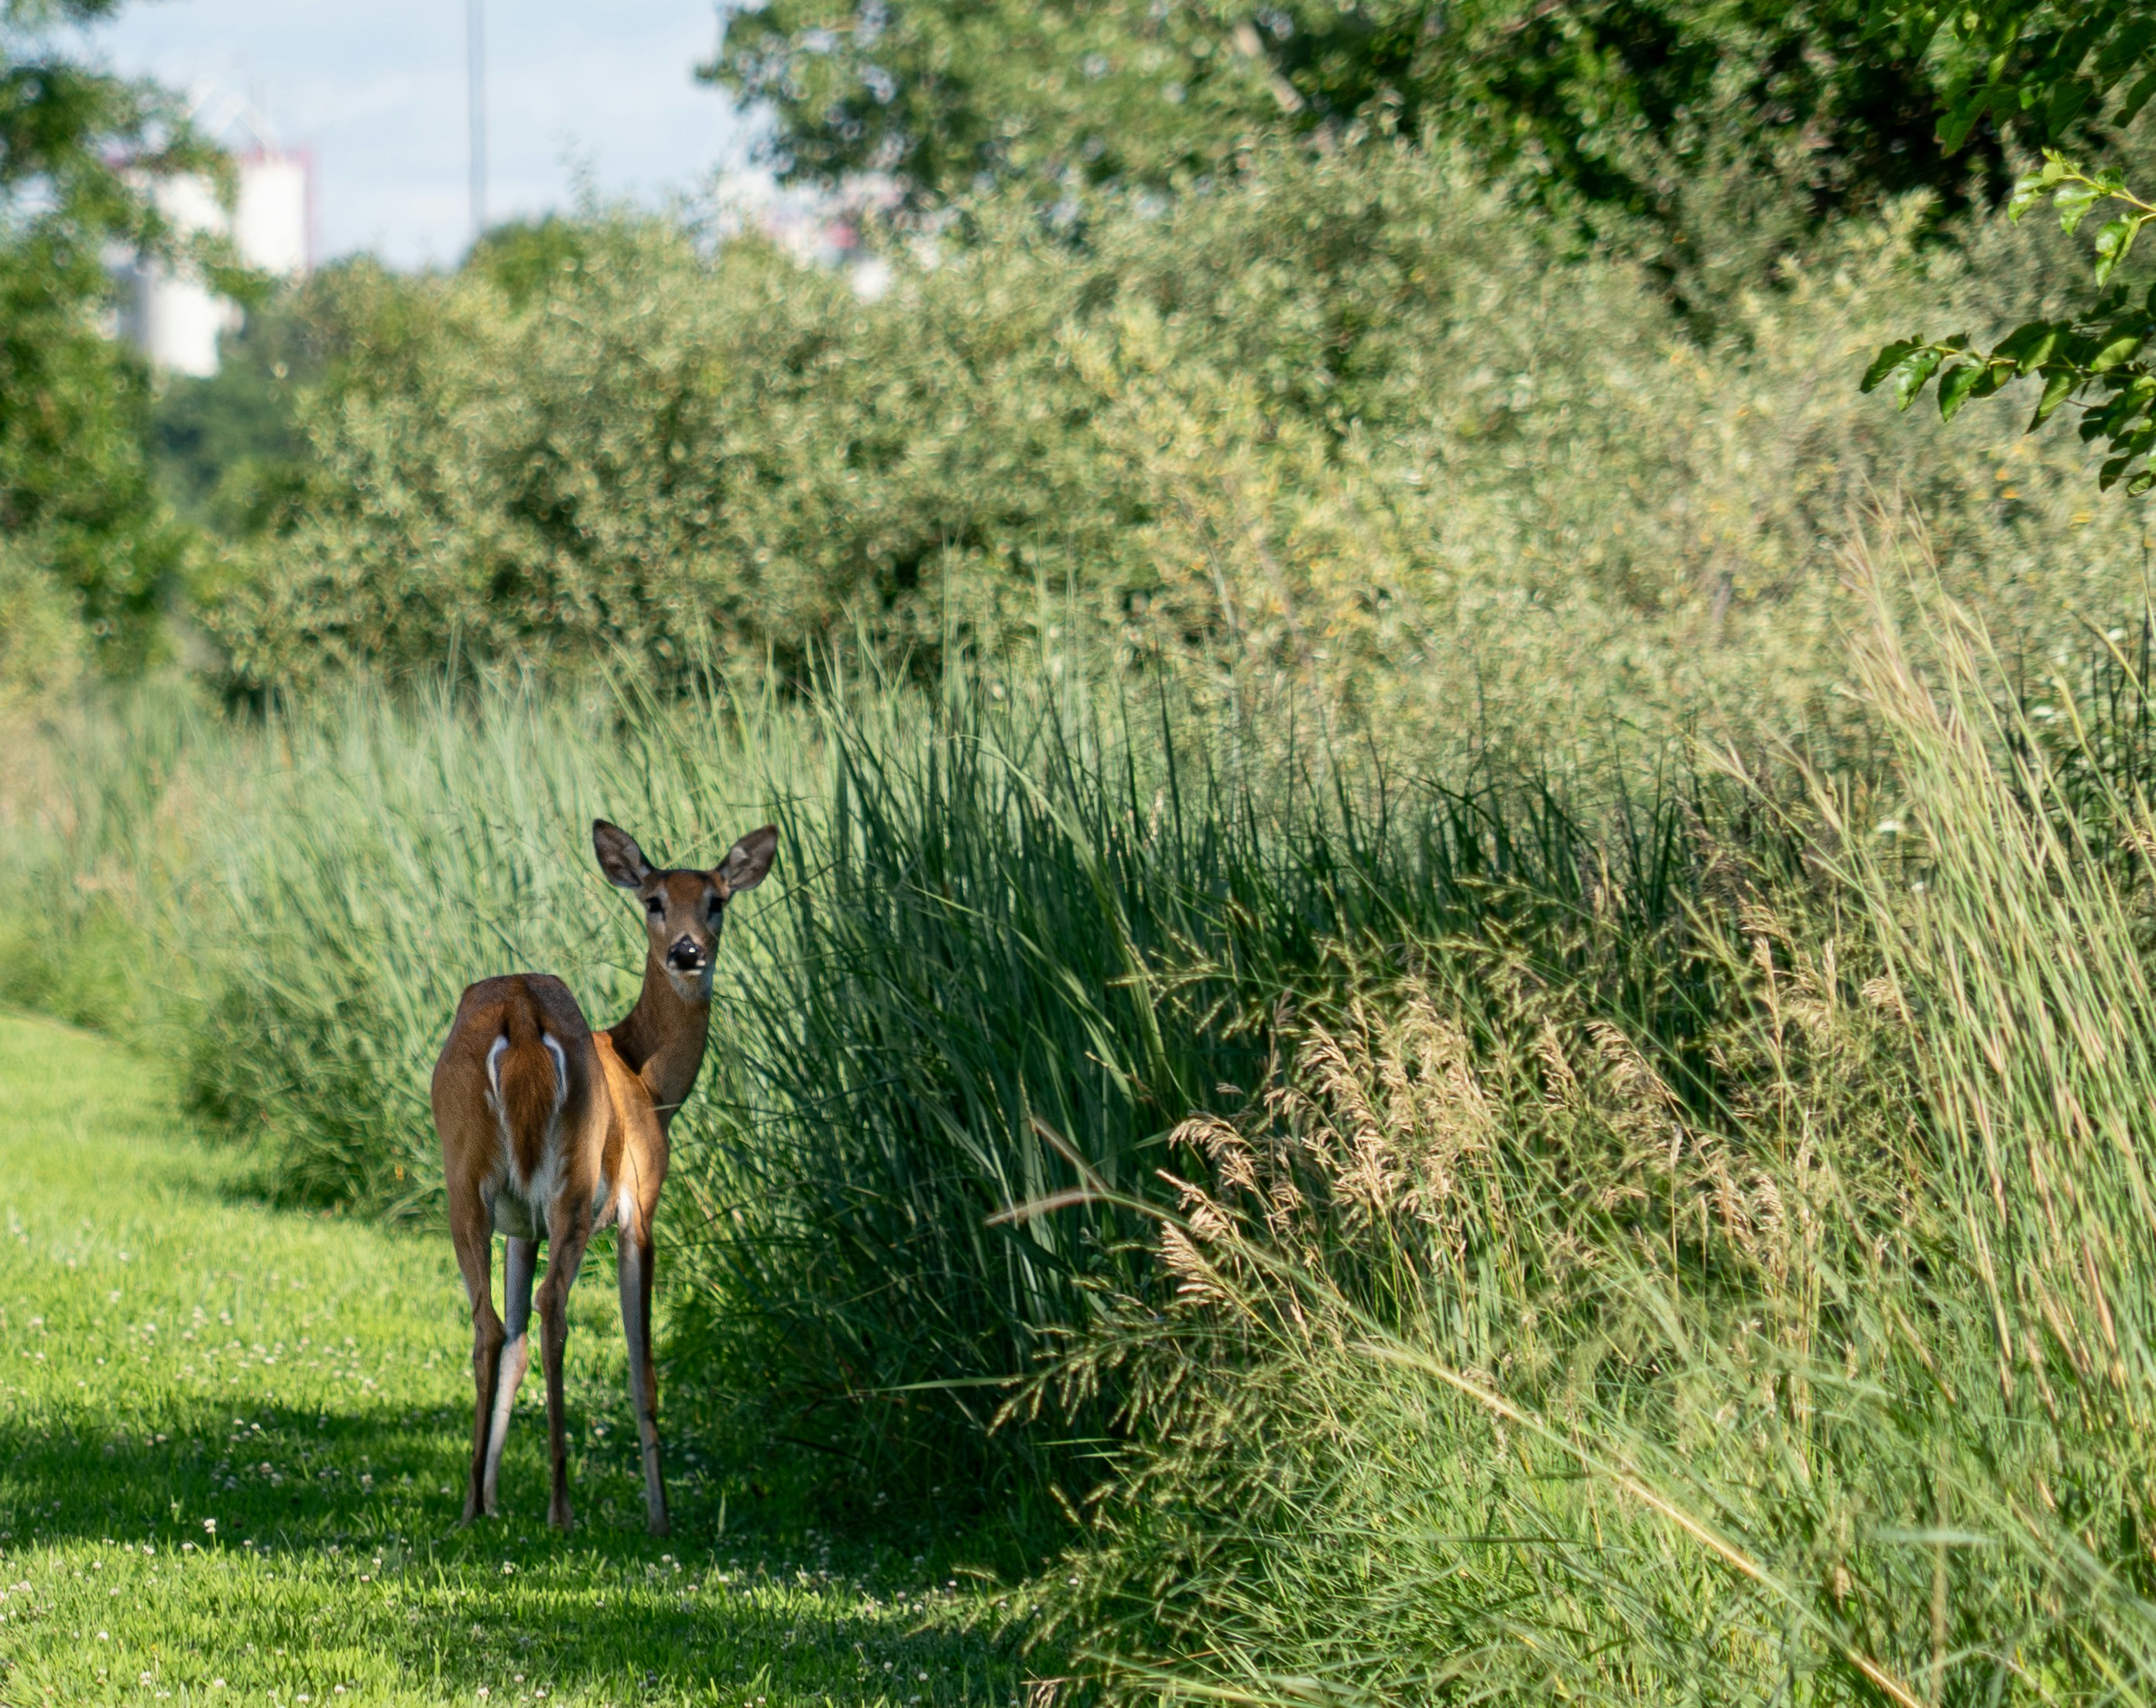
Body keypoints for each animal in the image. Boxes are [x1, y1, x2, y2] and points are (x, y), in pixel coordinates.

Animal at [431, 818, 778, 1534]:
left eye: (717, 901)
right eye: (653, 900)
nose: (686, 952)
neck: (647, 1079)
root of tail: (521, 1014)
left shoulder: (520, 1225)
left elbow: (514, 1348)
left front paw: (488, 1496)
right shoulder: (637, 1208)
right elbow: (643, 1367)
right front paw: (660, 1516)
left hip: (466, 1180)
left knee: (490, 1325)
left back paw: (473, 1508)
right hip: (572, 1181)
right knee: (554, 1308)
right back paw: (562, 1507)